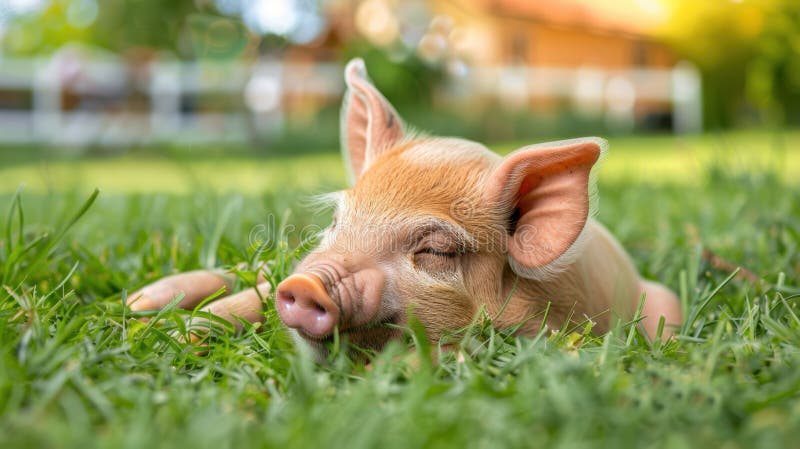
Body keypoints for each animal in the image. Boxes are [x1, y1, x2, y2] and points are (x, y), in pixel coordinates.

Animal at [128, 58, 682, 359]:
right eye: (338, 221)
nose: (305, 285)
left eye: (436, 251)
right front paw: (157, 325)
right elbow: (257, 289)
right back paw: (141, 301)